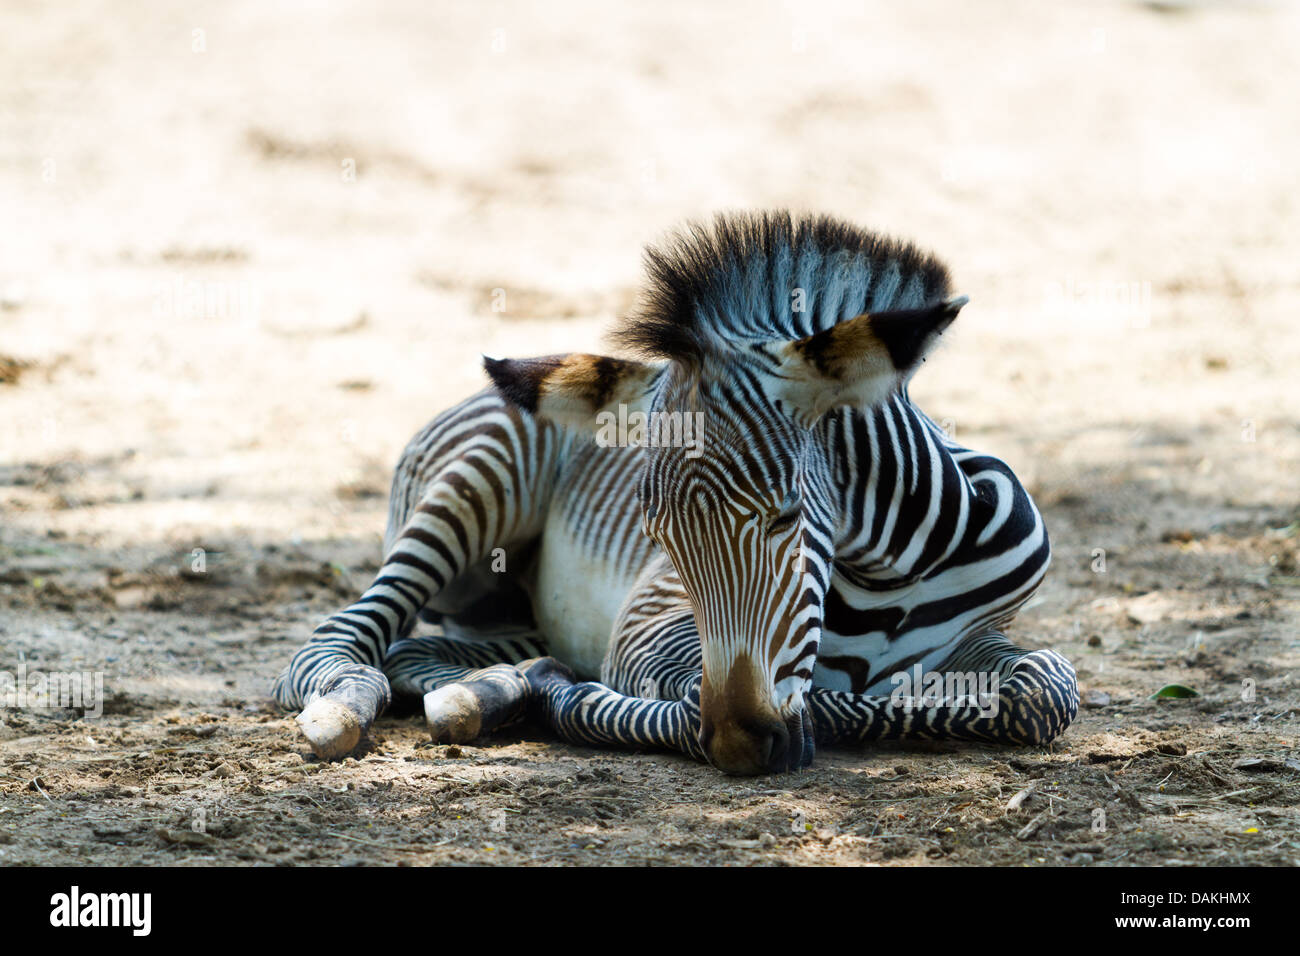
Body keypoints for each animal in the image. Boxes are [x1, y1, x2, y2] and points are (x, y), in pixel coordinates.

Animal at [273, 211, 1079, 775]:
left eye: (786, 516)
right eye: (661, 538)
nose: (741, 746)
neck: (895, 572)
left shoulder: (984, 637)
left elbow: (1041, 692)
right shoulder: (650, 624)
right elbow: (715, 698)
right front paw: (577, 700)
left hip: (515, 612)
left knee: (420, 649)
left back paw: (489, 689)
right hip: (479, 480)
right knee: (340, 641)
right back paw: (346, 708)